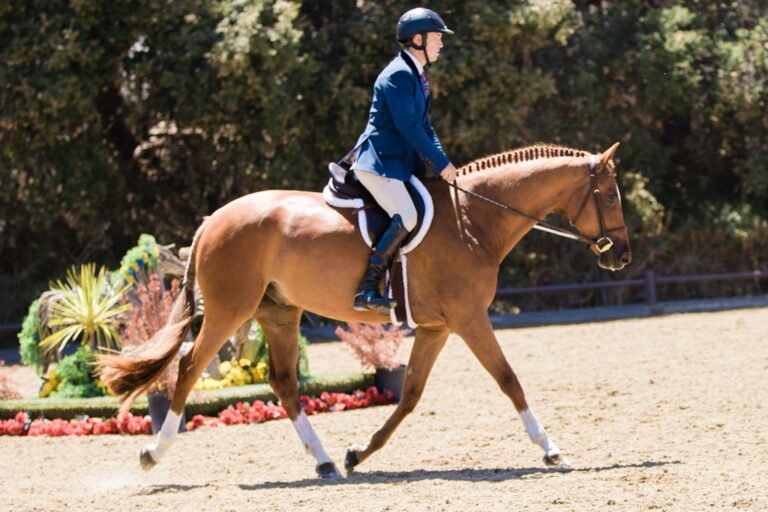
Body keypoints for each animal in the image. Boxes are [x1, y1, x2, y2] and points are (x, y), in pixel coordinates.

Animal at [98, 142, 631, 478]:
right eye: (608, 196)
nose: (621, 257)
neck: (474, 218)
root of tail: (213, 220)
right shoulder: (468, 319)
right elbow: (509, 380)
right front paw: (550, 449)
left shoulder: (437, 328)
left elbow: (410, 394)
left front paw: (358, 453)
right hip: (232, 308)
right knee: (189, 367)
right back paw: (154, 453)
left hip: (278, 313)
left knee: (283, 382)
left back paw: (325, 462)